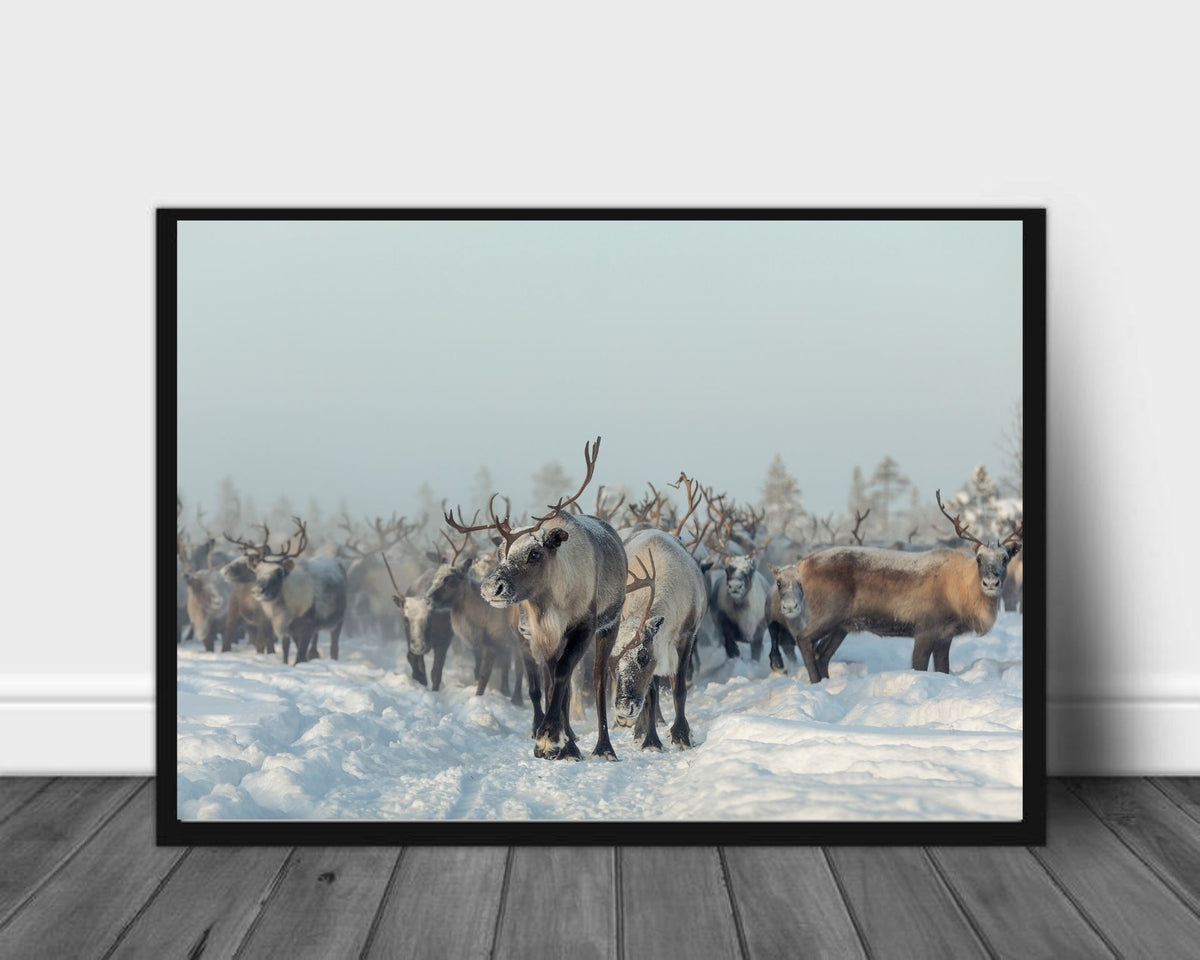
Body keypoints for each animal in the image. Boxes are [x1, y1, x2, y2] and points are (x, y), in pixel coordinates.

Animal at [444, 436, 627, 761]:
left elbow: (564, 676)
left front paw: (548, 738)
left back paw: (603, 747)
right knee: (558, 683)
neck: (549, 606)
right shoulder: (532, 635)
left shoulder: (583, 628)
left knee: (595, 679)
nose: (491, 587)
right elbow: (546, 685)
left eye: (534, 553)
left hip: (610, 624)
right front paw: (556, 740)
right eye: (500, 553)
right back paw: (571, 740)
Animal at [766, 491, 1024, 682]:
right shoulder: (925, 627)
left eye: (1005, 558)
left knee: (822, 653)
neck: (961, 594)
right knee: (804, 640)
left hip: (843, 625)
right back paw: (816, 683)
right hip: (828, 613)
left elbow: (943, 669)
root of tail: (802, 564)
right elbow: (919, 666)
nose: (991, 582)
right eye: (979, 558)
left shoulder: (945, 634)